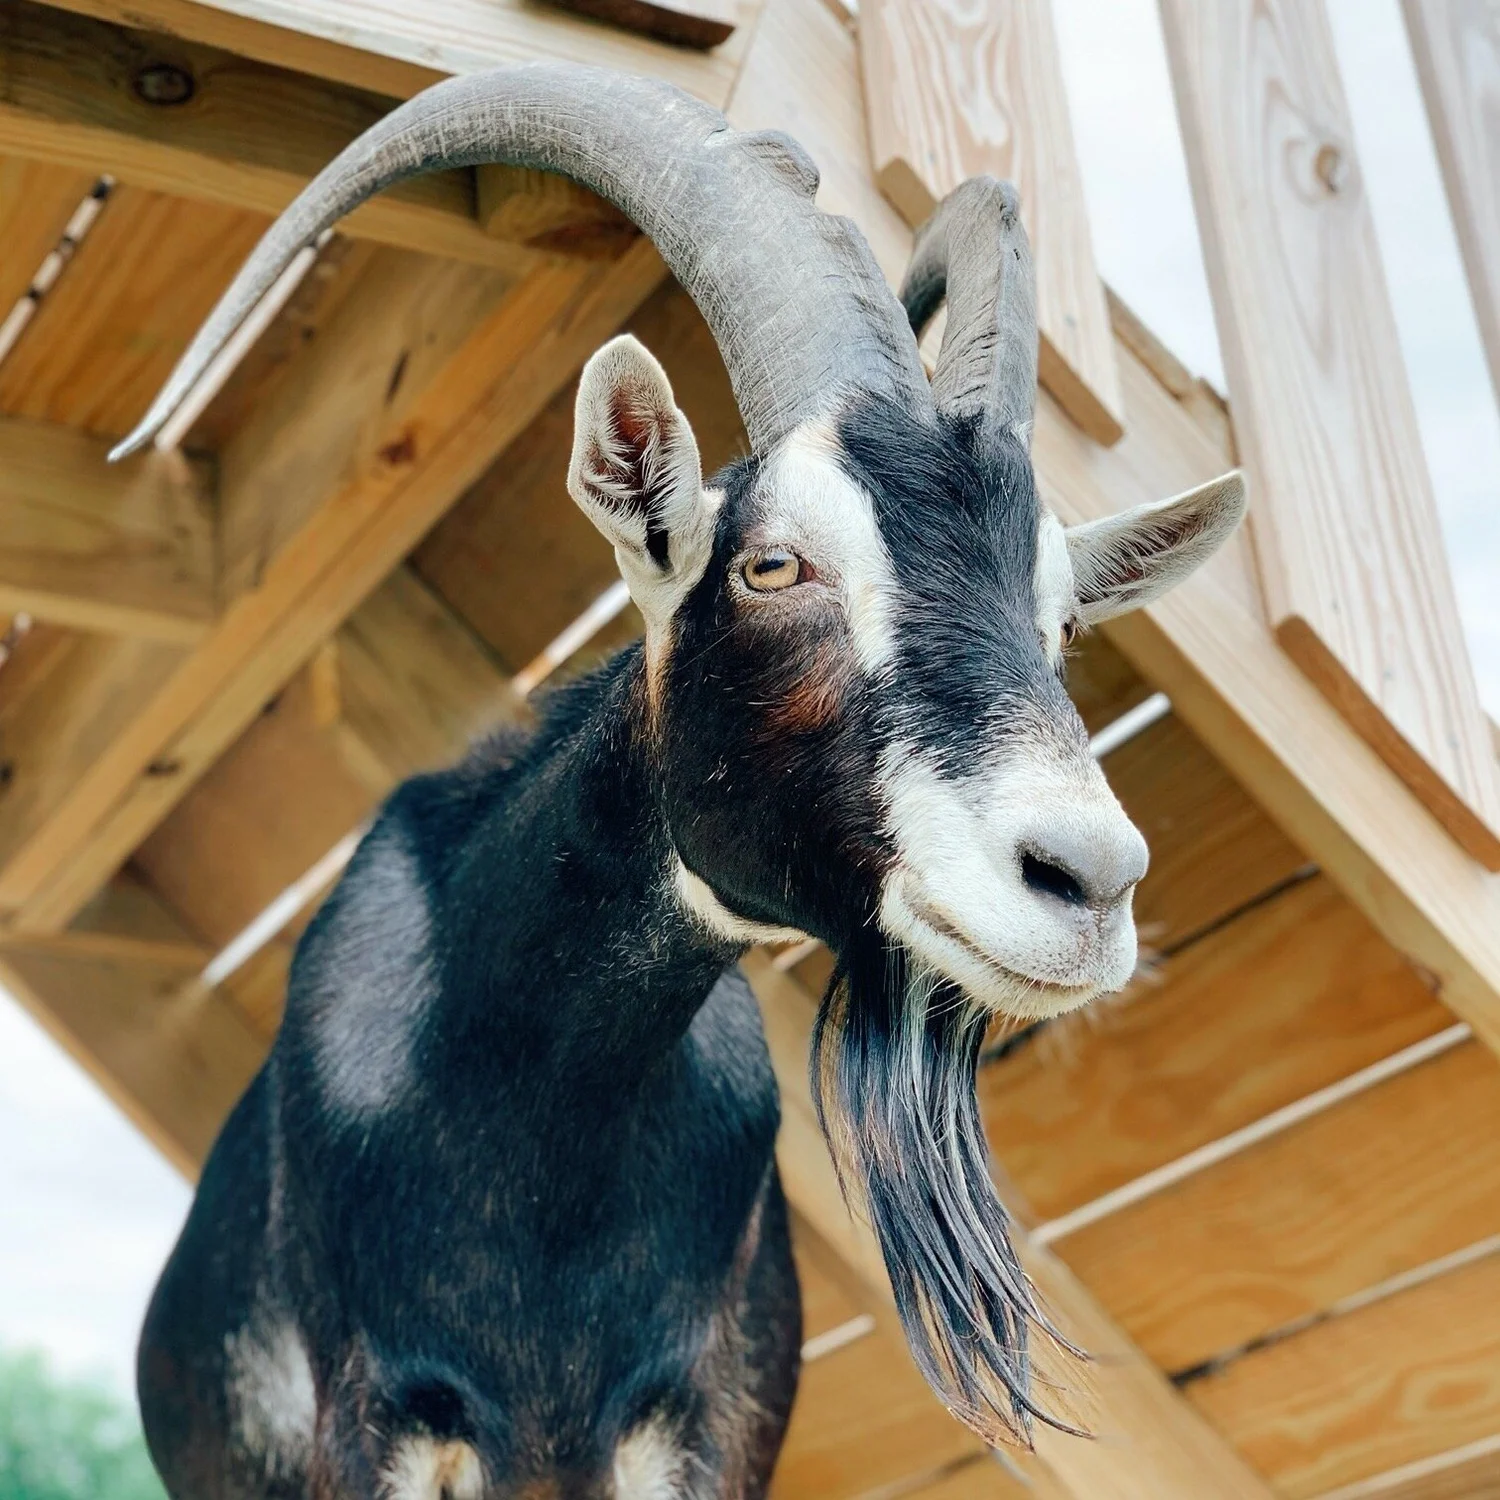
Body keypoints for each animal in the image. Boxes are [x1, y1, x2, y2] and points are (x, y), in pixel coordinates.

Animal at [119, 64, 1246, 1499]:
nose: (1088, 881)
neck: (536, 1106)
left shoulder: (700, 1422)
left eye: (1058, 620)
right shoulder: (373, 1414)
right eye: (772, 564)